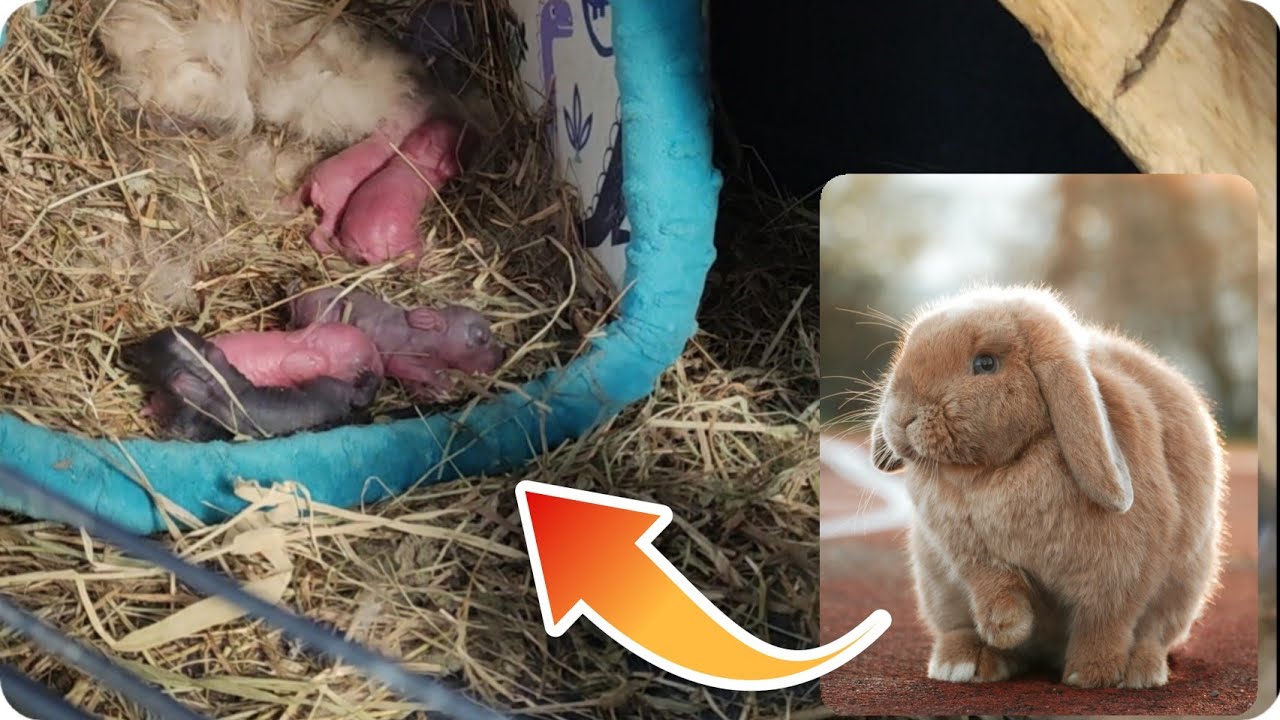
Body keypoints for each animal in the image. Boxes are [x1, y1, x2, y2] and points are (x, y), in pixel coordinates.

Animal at [867, 284, 1227, 690]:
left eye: (986, 363)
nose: (902, 417)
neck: (998, 469)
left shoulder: (1121, 575)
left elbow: (1106, 623)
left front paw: (1090, 675)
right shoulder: (969, 553)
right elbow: (993, 585)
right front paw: (1008, 629)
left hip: (1182, 591)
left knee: (1151, 633)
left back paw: (1140, 671)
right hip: (936, 586)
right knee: (957, 628)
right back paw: (964, 664)